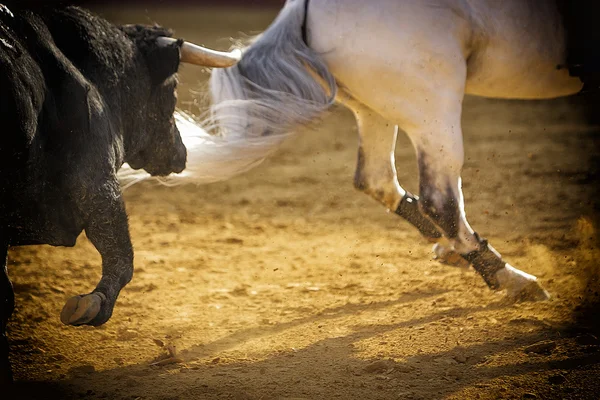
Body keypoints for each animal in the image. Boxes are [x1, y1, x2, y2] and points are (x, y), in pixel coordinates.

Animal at [203, 0, 596, 300]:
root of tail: (307, 7)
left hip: (373, 109)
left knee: (376, 179)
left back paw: (451, 250)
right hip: (433, 110)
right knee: (439, 200)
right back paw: (512, 279)